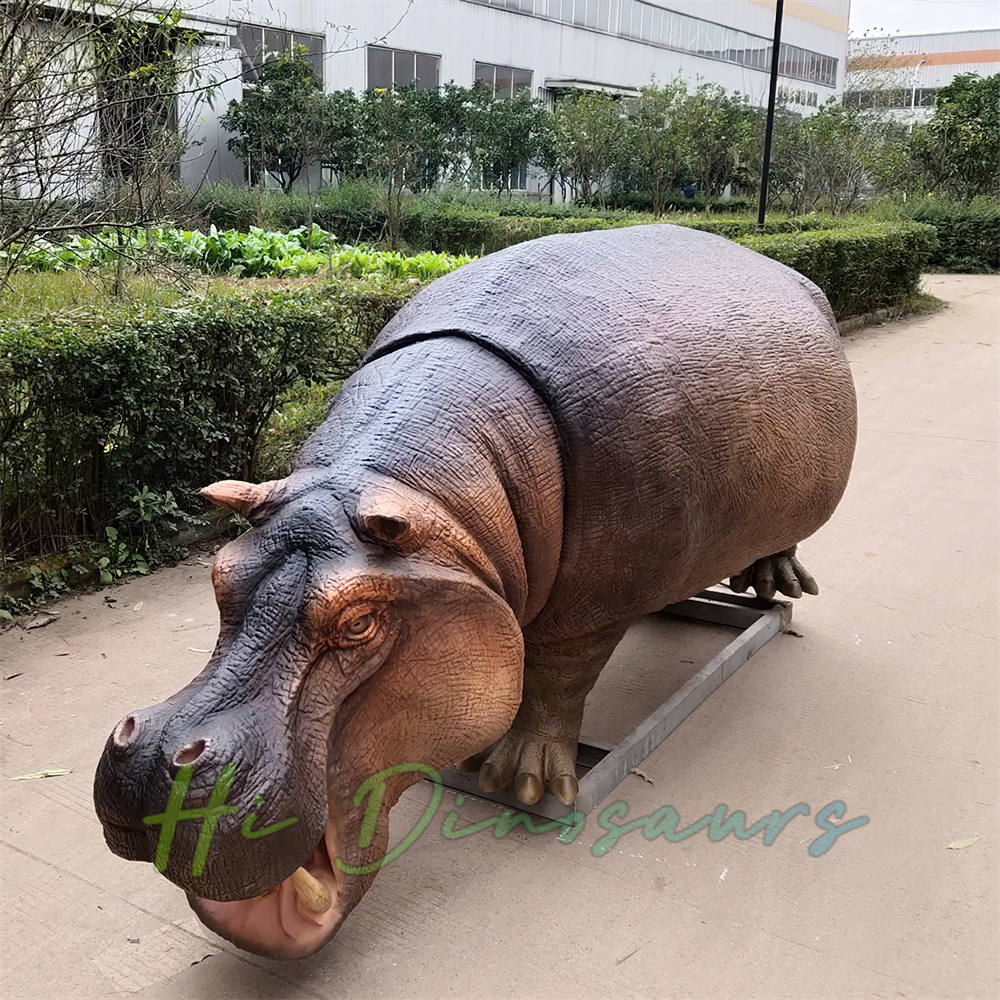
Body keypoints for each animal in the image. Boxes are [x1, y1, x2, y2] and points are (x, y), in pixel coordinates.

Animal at [94, 224, 856, 959]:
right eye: (220, 574)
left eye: (360, 622)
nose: (156, 758)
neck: (452, 514)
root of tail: (779, 268)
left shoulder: (585, 610)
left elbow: (558, 674)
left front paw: (516, 777)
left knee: (773, 556)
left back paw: (776, 583)